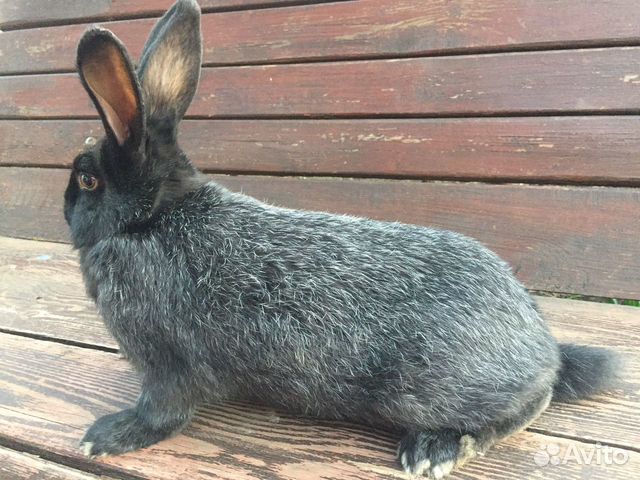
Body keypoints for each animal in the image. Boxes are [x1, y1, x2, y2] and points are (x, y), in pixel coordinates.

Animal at [65, 0, 619, 476]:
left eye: (87, 180)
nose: (66, 206)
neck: (151, 220)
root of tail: (541, 345)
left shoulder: (168, 363)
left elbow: (163, 411)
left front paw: (106, 436)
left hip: (429, 391)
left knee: (527, 404)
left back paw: (433, 451)